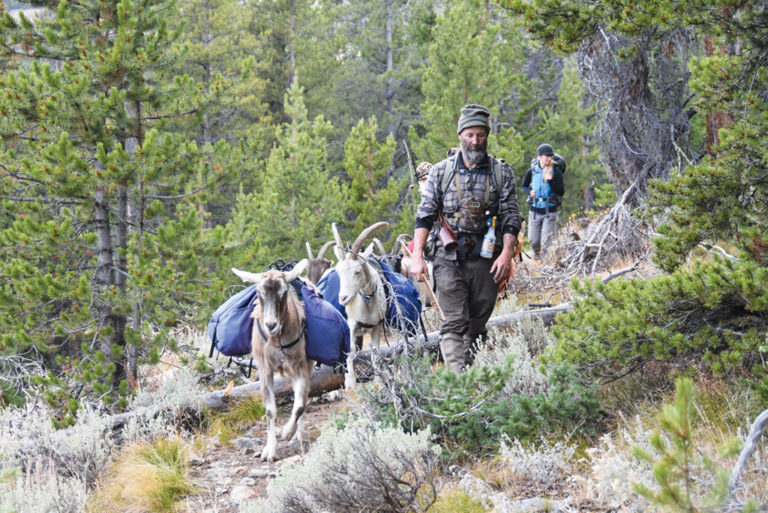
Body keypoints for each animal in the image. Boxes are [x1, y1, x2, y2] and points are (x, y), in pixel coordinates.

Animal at [231, 259, 311, 462]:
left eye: (283, 292)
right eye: (259, 293)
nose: (270, 325)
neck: (277, 342)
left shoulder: (300, 366)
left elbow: (299, 405)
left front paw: (287, 433)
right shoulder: (264, 369)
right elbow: (270, 411)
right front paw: (271, 451)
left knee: (303, 397)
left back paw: (299, 435)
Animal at [332, 221, 388, 389]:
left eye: (357, 271)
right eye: (338, 271)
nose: (343, 298)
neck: (367, 302)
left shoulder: (377, 327)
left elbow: (375, 352)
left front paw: (378, 380)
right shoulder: (350, 324)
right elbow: (349, 350)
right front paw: (350, 382)